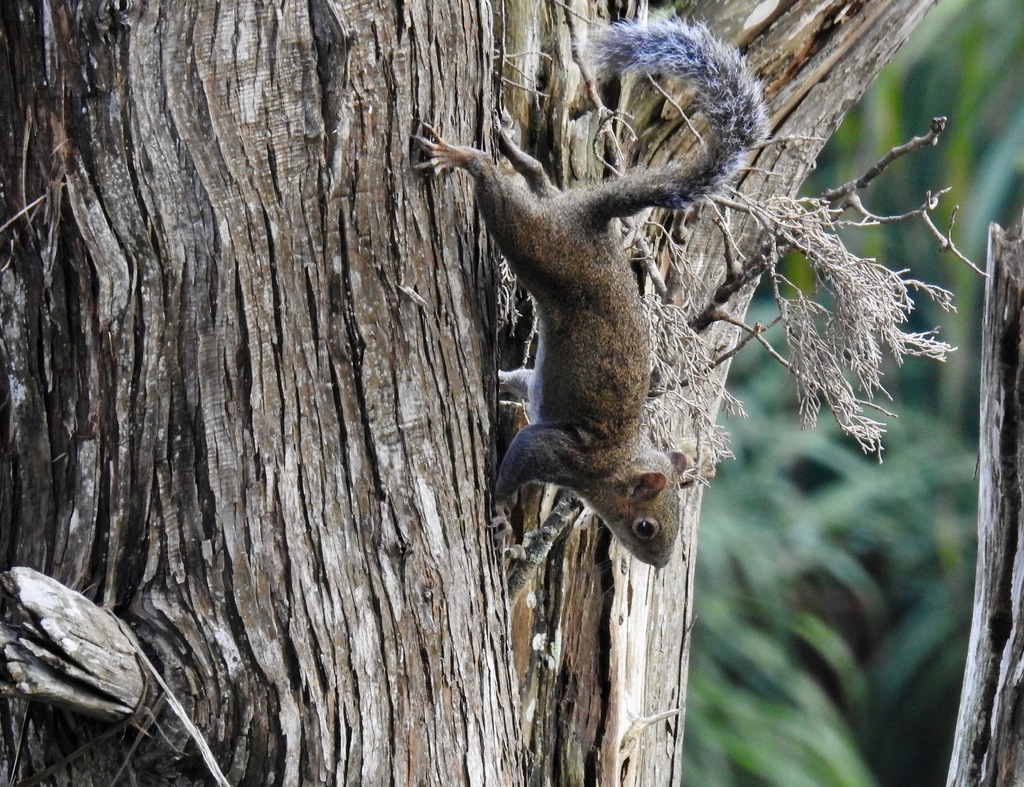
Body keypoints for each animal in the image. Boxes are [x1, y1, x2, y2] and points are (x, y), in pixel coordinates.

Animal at [415, 19, 768, 568]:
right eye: (646, 526)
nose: (659, 562)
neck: (616, 460)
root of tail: (592, 221)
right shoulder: (559, 453)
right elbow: (516, 464)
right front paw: (500, 513)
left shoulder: (541, 399)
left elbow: (519, 382)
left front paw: (498, 383)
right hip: (538, 245)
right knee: (494, 184)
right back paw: (466, 156)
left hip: (547, 218)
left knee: (539, 178)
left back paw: (513, 149)